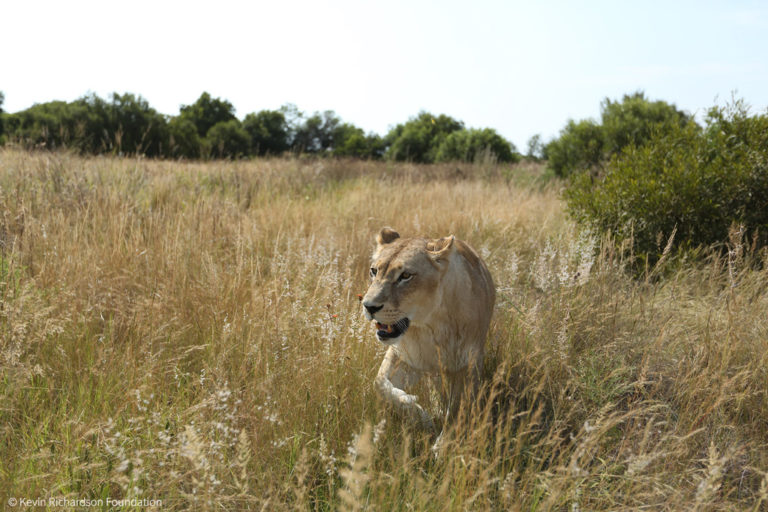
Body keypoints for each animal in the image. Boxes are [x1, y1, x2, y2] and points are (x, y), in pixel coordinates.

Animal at [362, 227, 495, 438]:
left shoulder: (468, 364)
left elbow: (457, 413)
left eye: (405, 276)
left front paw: (443, 442)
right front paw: (419, 413)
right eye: (374, 271)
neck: (427, 326)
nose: (368, 306)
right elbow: (379, 383)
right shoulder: (405, 356)